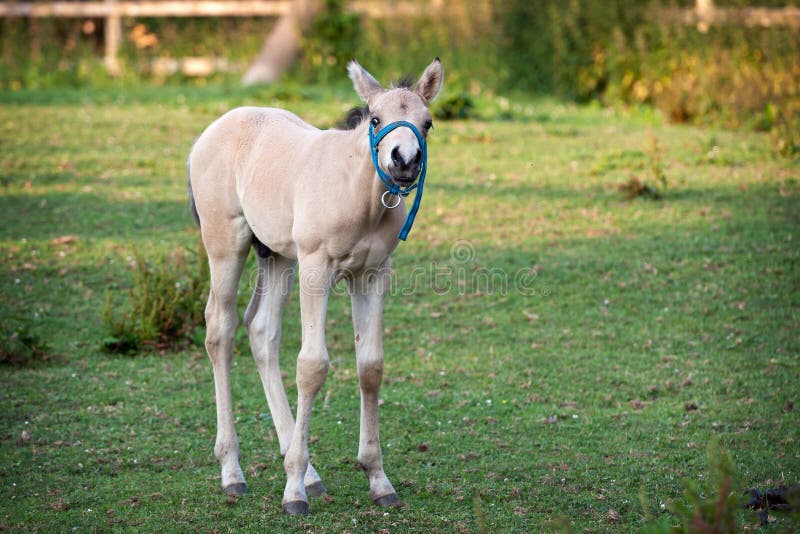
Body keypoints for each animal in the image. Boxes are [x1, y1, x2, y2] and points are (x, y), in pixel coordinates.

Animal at [187, 59, 443, 515]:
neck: (357, 193)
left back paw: (308, 472)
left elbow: (370, 366)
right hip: (227, 245)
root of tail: (210, 132)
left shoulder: (372, 275)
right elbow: (312, 366)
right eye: (375, 119)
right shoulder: (315, 268)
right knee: (220, 329)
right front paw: (293, 492)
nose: (404, 160)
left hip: (277, 256)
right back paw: (233, 472)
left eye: (426, 123)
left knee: (261, 331)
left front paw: (378, 479)